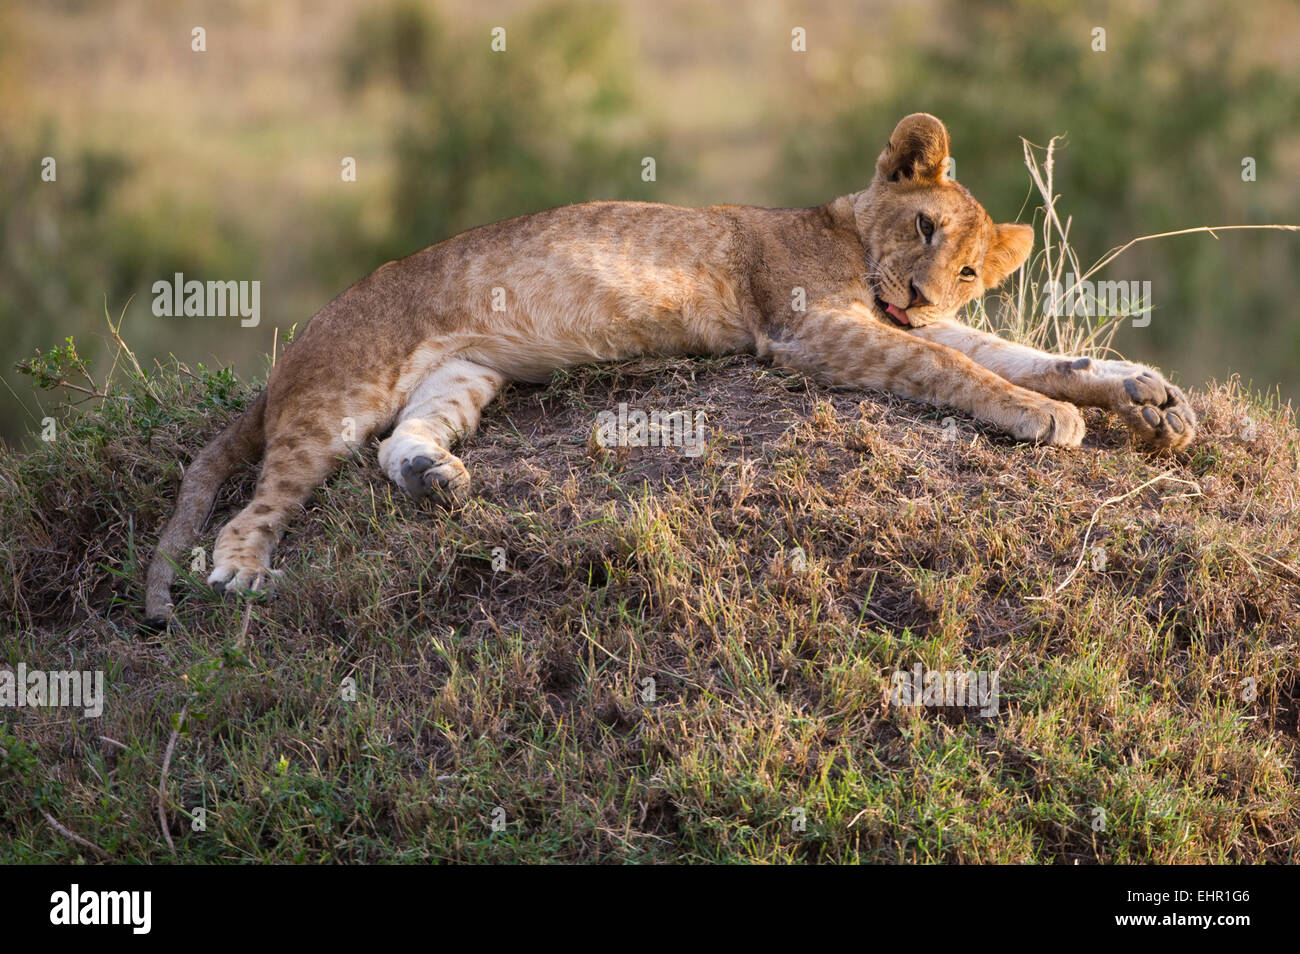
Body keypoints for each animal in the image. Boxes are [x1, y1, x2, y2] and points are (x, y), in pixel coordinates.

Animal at [142, 113, 1196, 626]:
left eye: (973, 268)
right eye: (926, 228)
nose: (924, 291)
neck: (849, 238)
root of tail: (296, 350)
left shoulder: (885, 322)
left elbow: (1014, 353)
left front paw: (1145, 393)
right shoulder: (812, 332)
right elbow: (954, 368)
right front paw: (1047, 416)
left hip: (463, 375)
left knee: (402, 441)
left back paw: (437, 477)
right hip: (336, 393)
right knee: (262, 498)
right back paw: (239, 569)